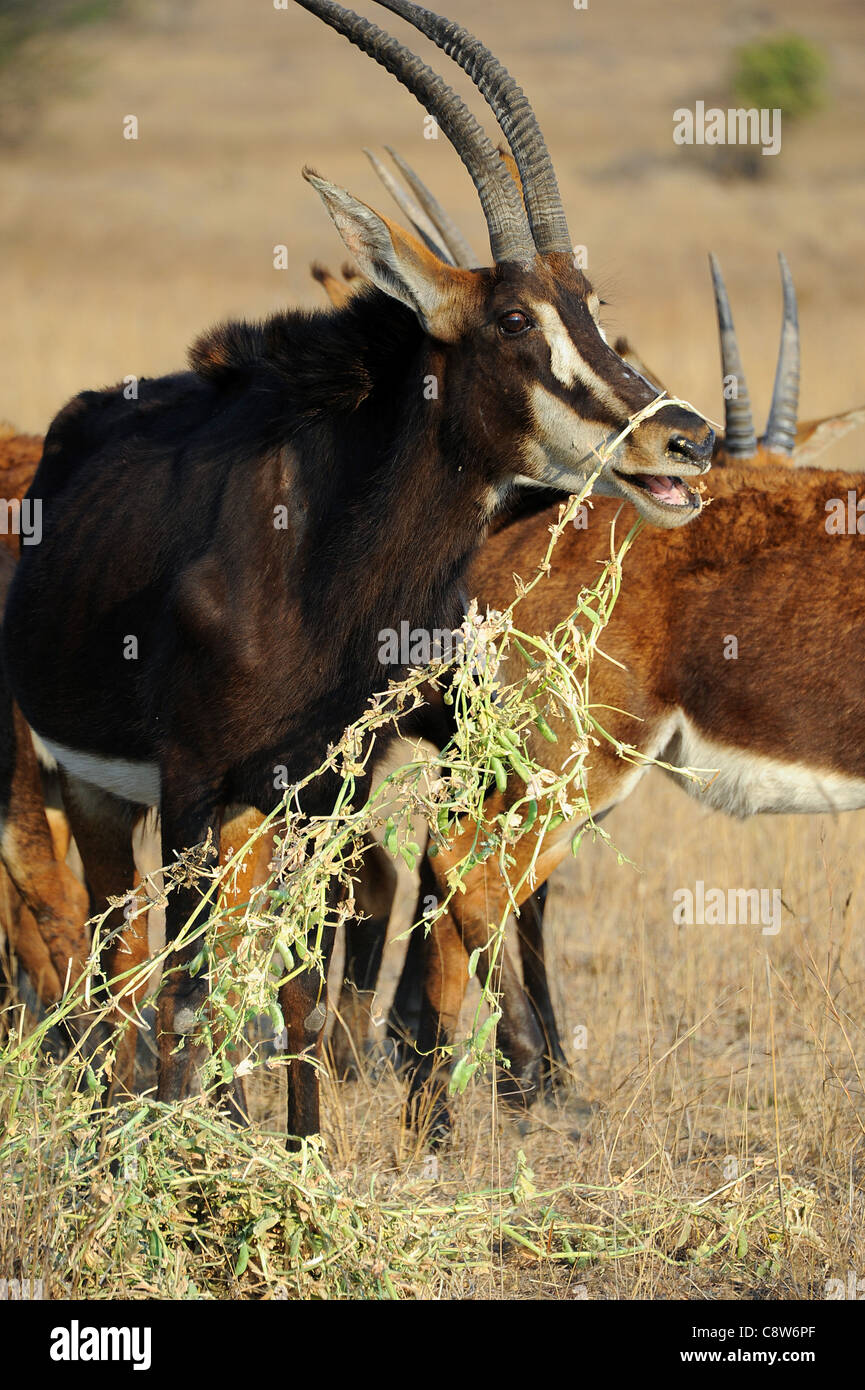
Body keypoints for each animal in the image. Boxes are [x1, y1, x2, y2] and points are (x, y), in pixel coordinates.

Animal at [1, 0, 712, 1139]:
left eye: (591, 302)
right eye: (515, 318)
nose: (685, 438)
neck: (317, 564)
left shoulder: (322, 787)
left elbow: (294, 977)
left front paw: (300, 1150)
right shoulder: (192, 784)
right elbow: (188, 982)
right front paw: (191, 1163)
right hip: (98, 788)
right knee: (113, 947)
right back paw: (124, 1128)